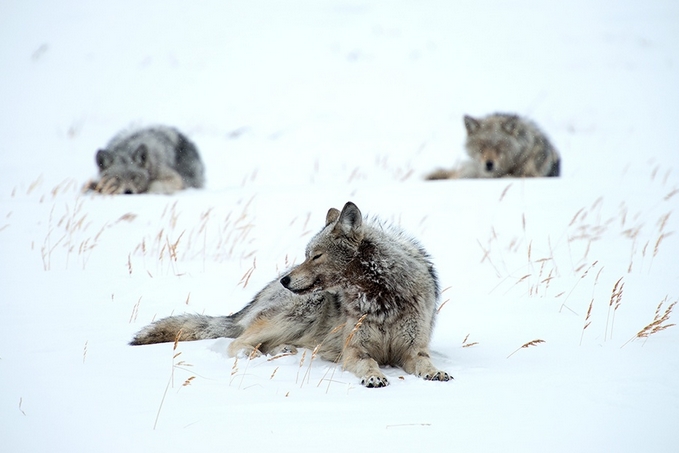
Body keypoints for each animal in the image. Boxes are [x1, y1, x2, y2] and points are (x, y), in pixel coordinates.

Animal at [131, 201, 451, 388]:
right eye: (306, 255)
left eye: (316, 256)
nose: (286, 280)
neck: (381, 296)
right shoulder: (355, 351)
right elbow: (368, 363)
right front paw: (374, 376)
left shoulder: (413, 349)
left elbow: (425, 363)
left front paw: (435, 373)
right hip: (307, 307)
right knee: (237, 343)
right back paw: (260, 353)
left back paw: (283, 350)